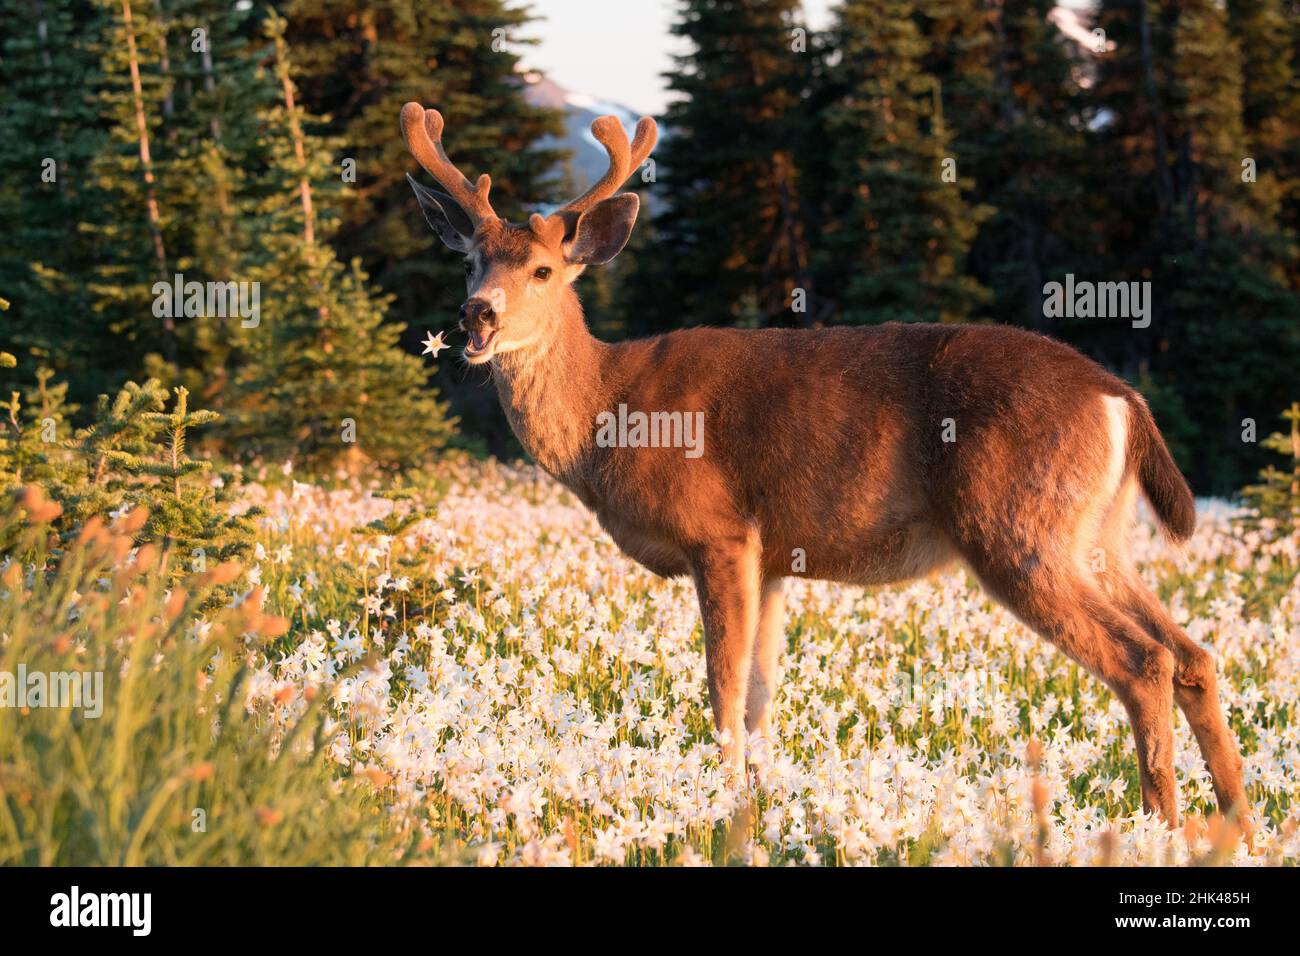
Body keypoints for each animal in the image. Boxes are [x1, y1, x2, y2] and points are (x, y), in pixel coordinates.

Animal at [400, 102, 1251, 840]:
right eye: (471, 260)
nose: (477, 316)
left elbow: (722, 690)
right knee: (1194, 654)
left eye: (544, 270)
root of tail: (1122, 399)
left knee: (1144, 660)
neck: (609, 410)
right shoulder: (775, 559)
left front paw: (722, 806)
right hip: (1097, 535)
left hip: (1016, 527)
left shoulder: (720, 532)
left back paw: (1159, 826)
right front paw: (757, 803)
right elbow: (760, 698)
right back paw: (1237, 822)